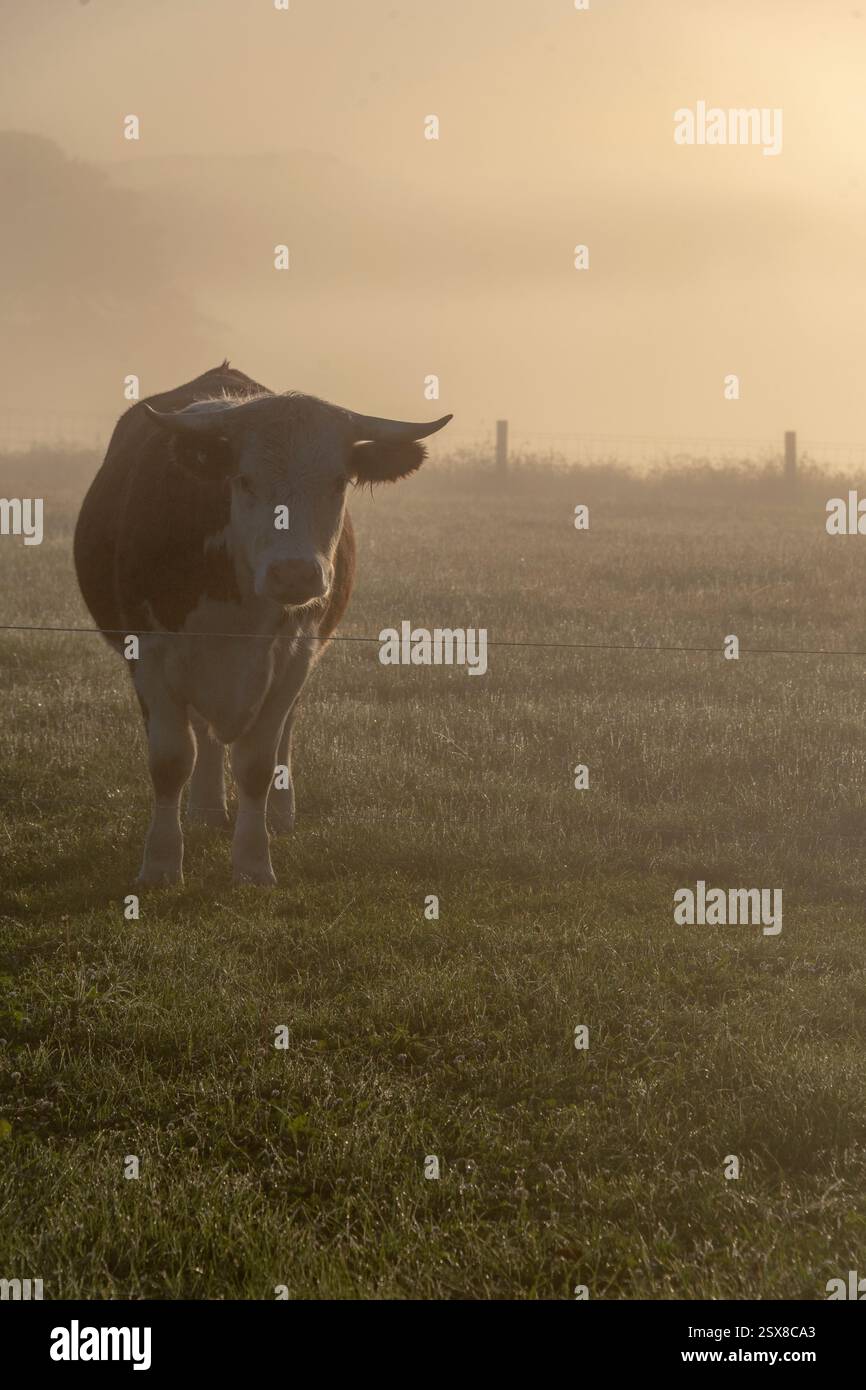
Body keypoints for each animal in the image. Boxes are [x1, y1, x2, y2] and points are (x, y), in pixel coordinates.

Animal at [73, 362, 451, 886]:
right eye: (245, 480)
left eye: (339, 481)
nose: (294, 573)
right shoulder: (148, 652)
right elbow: (170, 760)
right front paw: (162, 864)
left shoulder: (293, 654)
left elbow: (256, 763)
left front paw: (253, 862)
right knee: (204, 737)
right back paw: (206, 810)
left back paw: (277, 813)